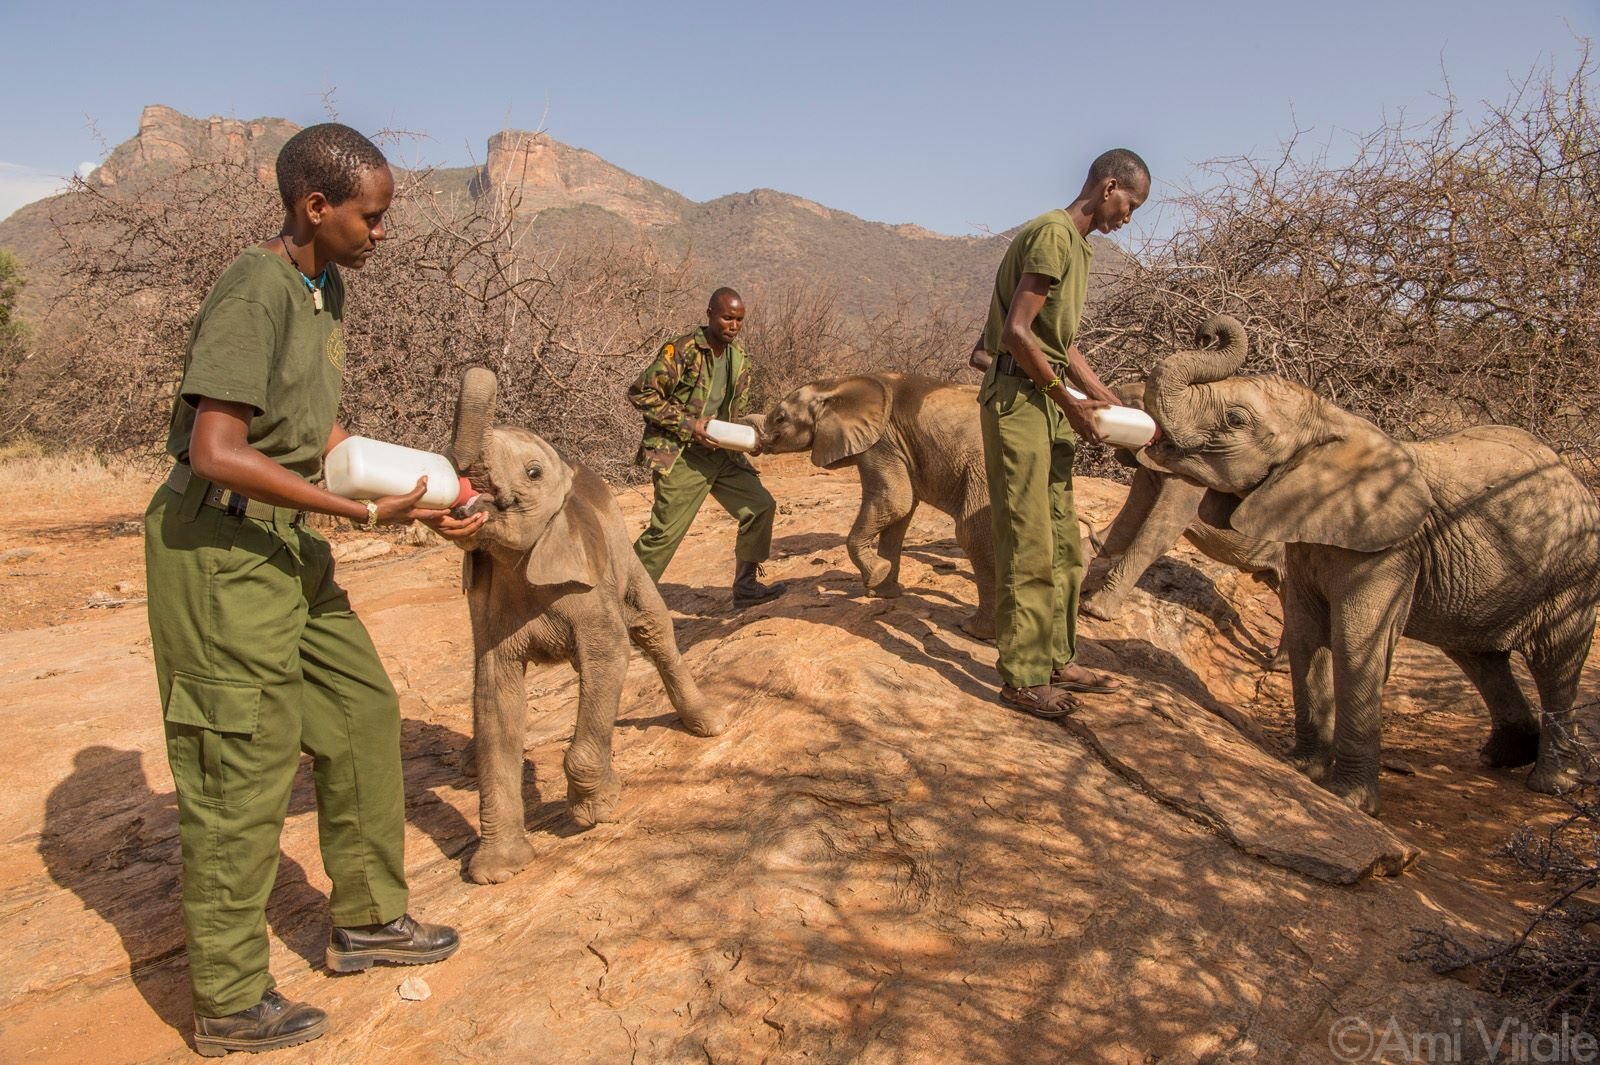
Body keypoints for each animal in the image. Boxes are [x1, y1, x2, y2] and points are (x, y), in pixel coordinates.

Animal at [444, 367, 726, 883]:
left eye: (533, 473)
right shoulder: (488, 603)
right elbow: (495, 694)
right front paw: (497, 872)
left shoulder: (587, 579)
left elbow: (608, 655)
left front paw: (596, 810)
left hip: (623, 556)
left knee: (654, 628)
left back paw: (709, 724)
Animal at [755, 373, 997, 639]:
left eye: (780, 418)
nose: (758, 445)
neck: (837, 384)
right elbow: (902, 511)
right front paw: (882, 593)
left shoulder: (881, 440)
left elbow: (893, 501)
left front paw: (877, 576)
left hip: (983, 473)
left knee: (972, 533)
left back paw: (975, 630)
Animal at [1081, 381, 1290, 669]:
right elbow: (1126, 523)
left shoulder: (1191, 478)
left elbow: (1159, 532)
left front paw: (1095, 611)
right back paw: (1274, 661)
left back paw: (1275, 664)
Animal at [1139, 314, 1600, 814]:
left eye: (1236, 420)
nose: (1207, 332)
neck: (1332, 423)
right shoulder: (1307, 537)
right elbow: (1305, 634)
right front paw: (1301, 769)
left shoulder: (1387, 550)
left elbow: (1355, 644)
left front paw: (1348, 799)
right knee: (1480, 657)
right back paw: (1504, 756)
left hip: (1573, 574)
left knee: (1555, 663)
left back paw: (1552, 784)